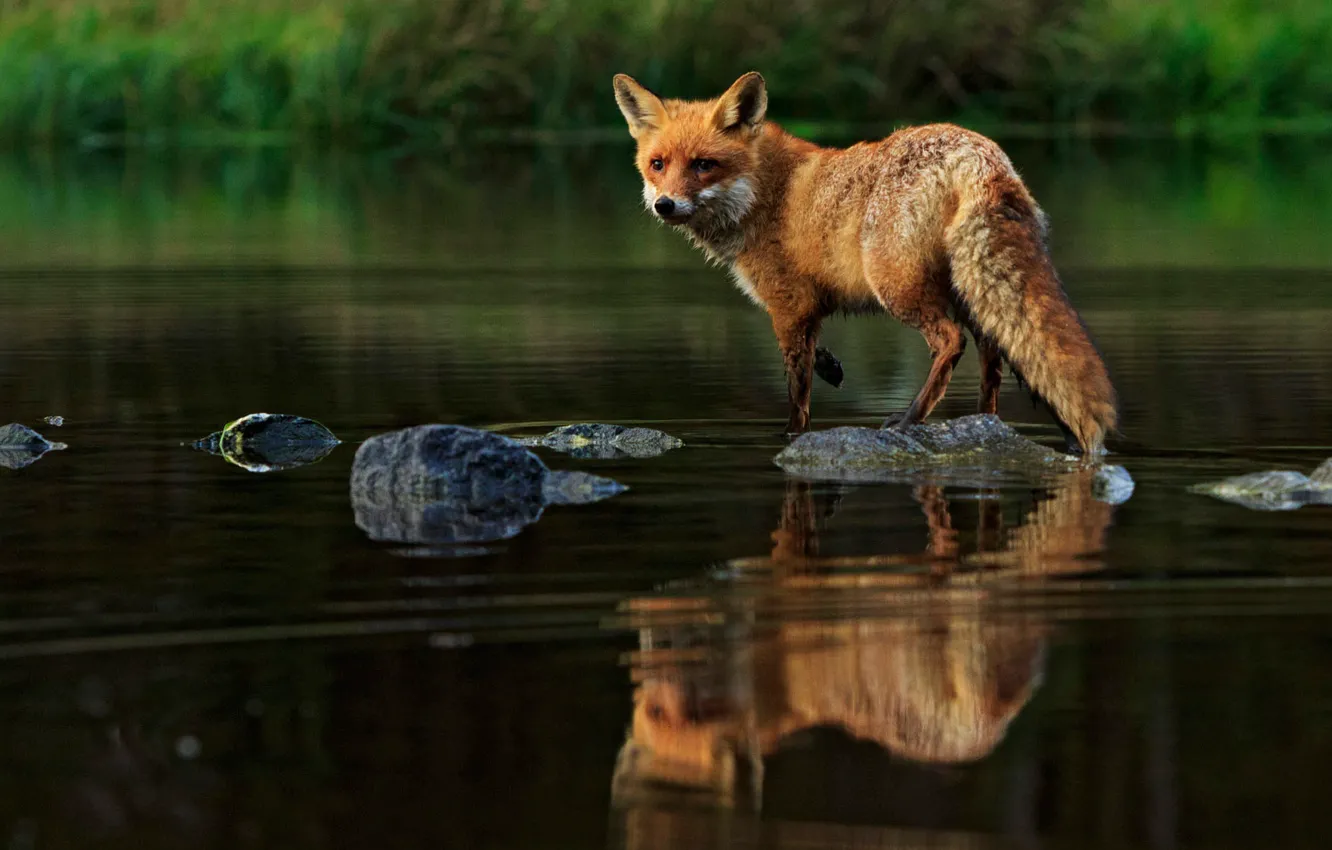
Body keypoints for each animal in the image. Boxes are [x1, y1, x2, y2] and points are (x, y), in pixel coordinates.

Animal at [613, 71, 1118, 454]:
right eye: (658, 164)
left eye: (704, 165)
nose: (664, 205)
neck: (764, 193)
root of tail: (978, 153)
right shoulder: (810, 308)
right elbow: (816, 358)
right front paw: (831, 365)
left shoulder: (789, 306)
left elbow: (797, 394)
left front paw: (792, 436)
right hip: (971, 290)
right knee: (993, 359)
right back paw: (984, 422)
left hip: (897, 285)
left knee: (951, 342)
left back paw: (911, 418)